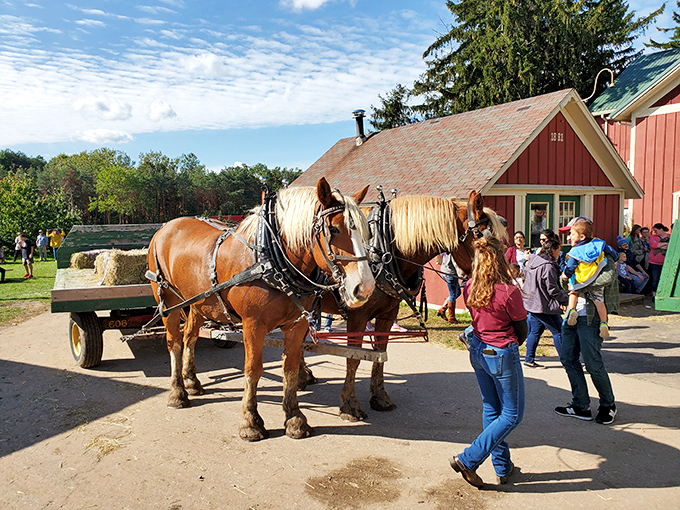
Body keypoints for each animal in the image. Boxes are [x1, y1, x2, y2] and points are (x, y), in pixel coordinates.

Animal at [147, 178, 376, 440]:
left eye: (367, 232)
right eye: (335, 229)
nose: (365, 288)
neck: (269, 259)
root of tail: (165, 227)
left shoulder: (298, 324)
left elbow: (290, 369)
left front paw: (295, 418)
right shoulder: (253, 324)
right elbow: (253, 369)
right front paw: (250, 421)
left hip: (198, 302)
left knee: (190, 337)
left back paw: (192, 381)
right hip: (168, 301)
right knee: (174, 342)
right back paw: (177, 392)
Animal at [299, 190, 507, 421]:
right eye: (482, 237)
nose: (503, 278)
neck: (383, 251)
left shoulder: (388, 314)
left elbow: (380, 353)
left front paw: (380, 397)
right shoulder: (357, 317)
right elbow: (353, 358)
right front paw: (349, 406)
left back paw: (302, 376)